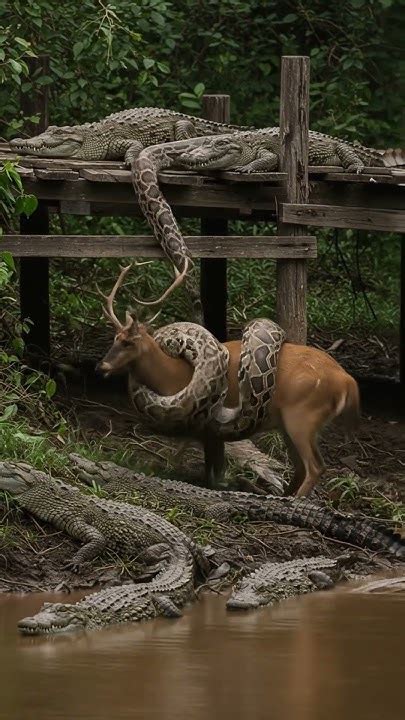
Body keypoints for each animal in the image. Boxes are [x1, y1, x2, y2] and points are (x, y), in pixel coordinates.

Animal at [96, 265, 360, 497]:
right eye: (115, 338)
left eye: (128, 342)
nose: (102, 367)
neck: (175, 376)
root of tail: (347, 381)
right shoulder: (205, 430)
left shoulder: (205, 426)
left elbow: (199, 465)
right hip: (289, 422)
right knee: (301, 467)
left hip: (303, 416)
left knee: (315, 466)